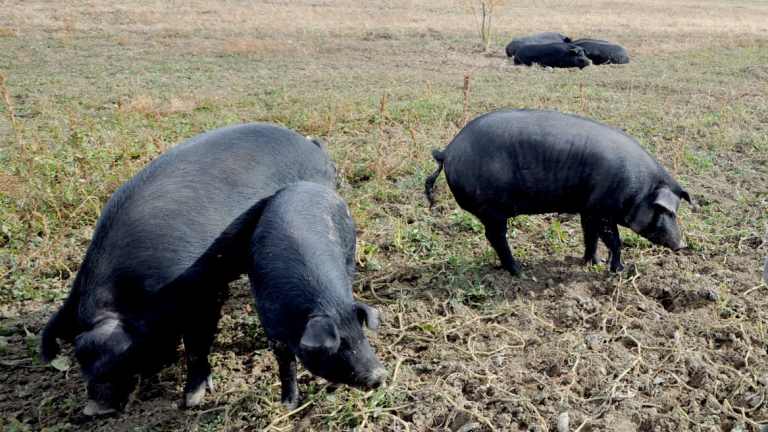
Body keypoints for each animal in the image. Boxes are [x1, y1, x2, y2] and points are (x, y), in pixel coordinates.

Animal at [40, 123, 336, 415]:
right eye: (81, 362)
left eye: (119, 358)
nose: (93, 410)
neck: (136, 295)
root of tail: (310, 145)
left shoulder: (201, 292)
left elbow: (196, 343)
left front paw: (192, 399)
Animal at [248, 181, 386, 408]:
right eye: (340, 344)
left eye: (362, 335)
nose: (381, 375)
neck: (329, 303)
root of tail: (309, 184)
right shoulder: (273, 328)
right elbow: (286, 367)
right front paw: (288, 406)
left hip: (350, 249)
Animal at [425, 109, 691, 275]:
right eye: (664, 211)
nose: (681, 245)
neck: (638, 190)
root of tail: (447, 151)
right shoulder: (603, 210)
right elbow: (614, 240)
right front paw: (618, 271)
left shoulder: (589, 209)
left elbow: (590, 236)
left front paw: (591, 263)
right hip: (491, 209)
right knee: (496, 237)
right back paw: (519, 271)